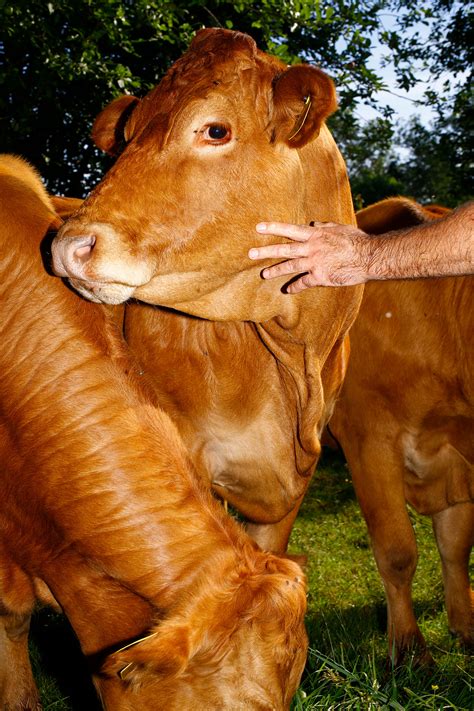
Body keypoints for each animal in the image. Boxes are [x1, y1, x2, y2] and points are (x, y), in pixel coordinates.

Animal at [327, 197, 473, 664]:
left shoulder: (457, 459)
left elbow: (455, 544)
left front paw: (466, 627)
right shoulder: (368, 438)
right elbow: (396, 550)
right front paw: (409, 650)